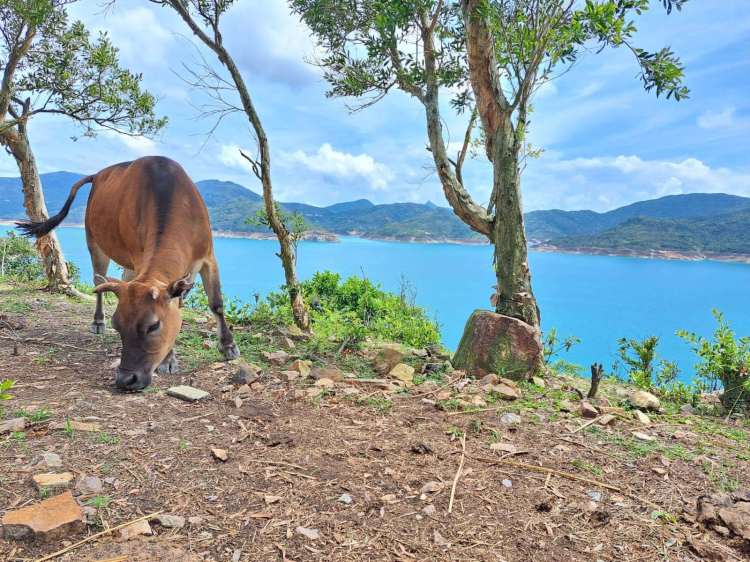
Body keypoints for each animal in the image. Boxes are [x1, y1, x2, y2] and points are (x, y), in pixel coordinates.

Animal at [17, 156, 239, 391]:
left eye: (153, 325)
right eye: (117, 325)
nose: (125, 379)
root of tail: (97, 175)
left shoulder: (208, 258)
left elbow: (216, 303)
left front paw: (228, 347)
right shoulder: (138, 257)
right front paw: (169, 359)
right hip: (95, 242)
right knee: (97, 281)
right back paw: (98, 322)